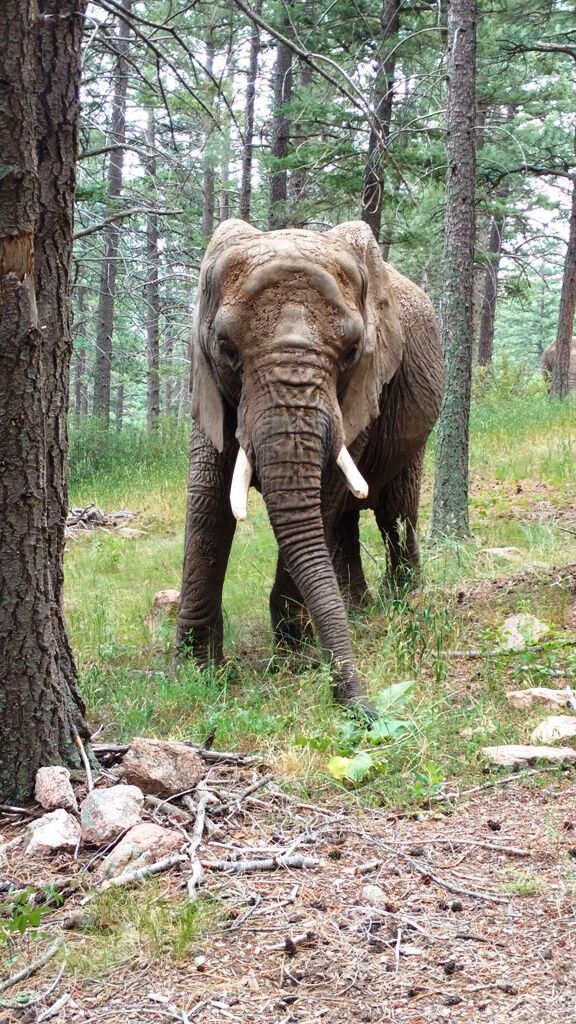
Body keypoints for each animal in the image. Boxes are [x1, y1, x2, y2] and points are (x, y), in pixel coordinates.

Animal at [176, 219, 443, 713]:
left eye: (353, 351)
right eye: (226, 349)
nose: (364, 707)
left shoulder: (362, 392)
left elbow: (322, 495)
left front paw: (294, 662)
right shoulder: (207, 387)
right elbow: (207, 502)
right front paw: (194, 673)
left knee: (393, 512)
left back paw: (402, 600)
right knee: (345, 522)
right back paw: (356, 608)